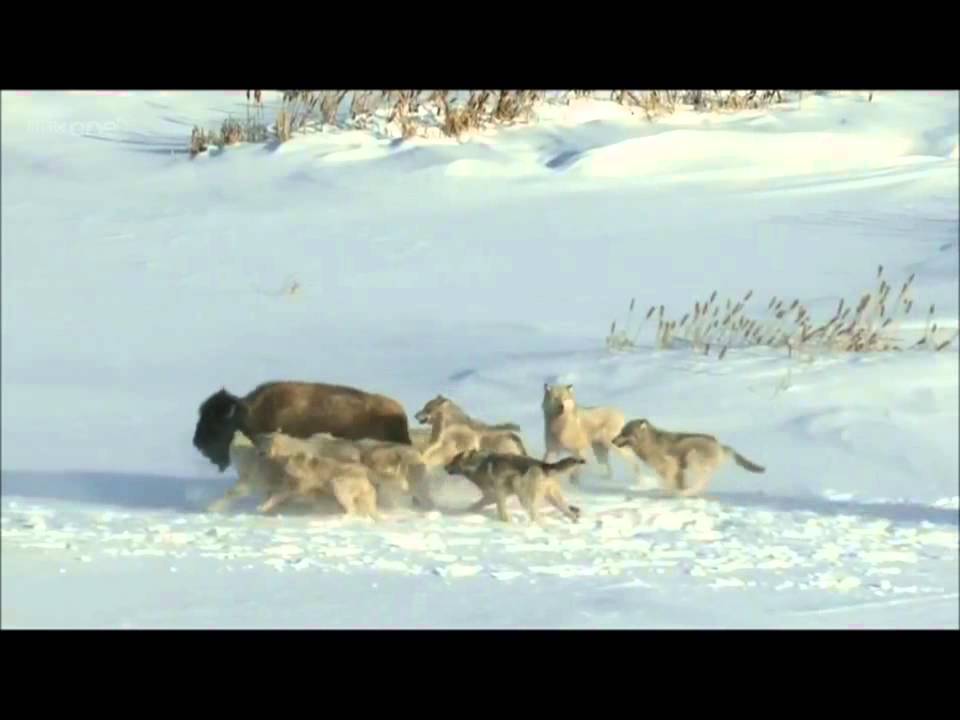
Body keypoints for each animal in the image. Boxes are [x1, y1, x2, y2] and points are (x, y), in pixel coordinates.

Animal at [443, 449, 584, 524]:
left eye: (453, 460)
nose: (444, 467)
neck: (476, 465)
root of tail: (544, 465)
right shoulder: (493, 497)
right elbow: (476, 505)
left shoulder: (496, 495)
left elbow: (499, 511)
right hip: (553, 499)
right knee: (569, 512)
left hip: (525, 498)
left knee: (537, 517)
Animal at [611, 418, 765, 497]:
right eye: (620, 432)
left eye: (624, 433)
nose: (612, 441)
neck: (649, 443)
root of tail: (720, 446)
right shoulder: (675, 471)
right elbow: (675, 484)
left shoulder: (671, 467)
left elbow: (670, 485)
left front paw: (670, 495)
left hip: (693, 456)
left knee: (703, 481)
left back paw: (688, 492)